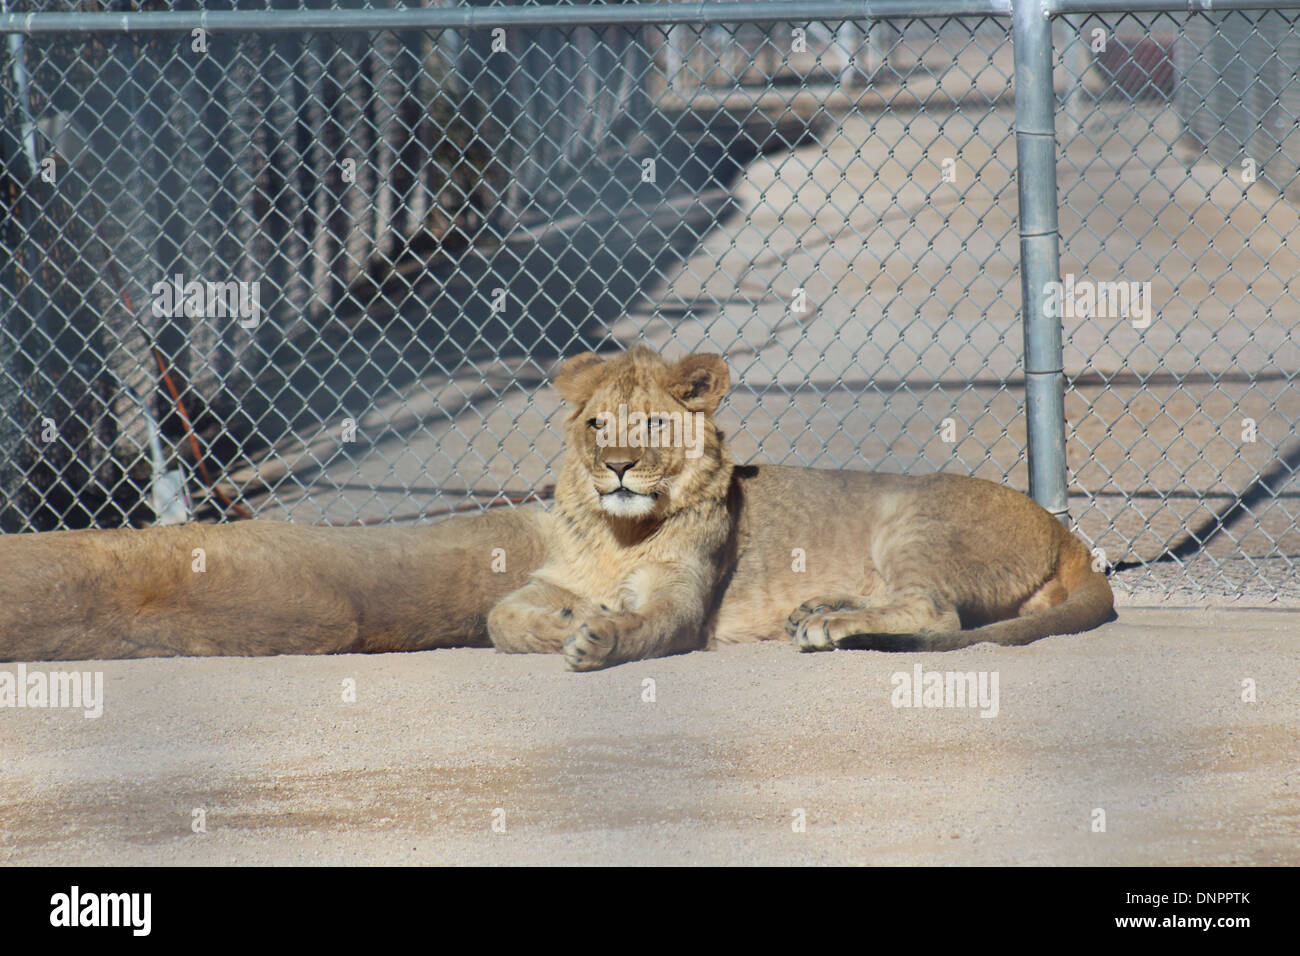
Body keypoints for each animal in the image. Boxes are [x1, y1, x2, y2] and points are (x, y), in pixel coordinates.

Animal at [0, 345, 1114, 666]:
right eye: (594, 425)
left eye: (651, 427)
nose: (617, 463)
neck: (620, 527)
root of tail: (1070, 536)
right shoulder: (533, 576)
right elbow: (502, 615)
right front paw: (573, 618)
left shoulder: (684, 605)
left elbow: (644, 626)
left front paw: (598, 637)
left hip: (914, 524)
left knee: (933, 610)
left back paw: (825, 623)